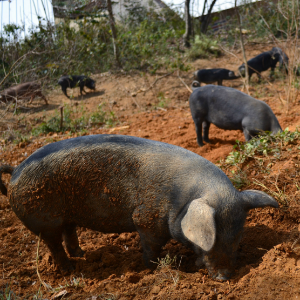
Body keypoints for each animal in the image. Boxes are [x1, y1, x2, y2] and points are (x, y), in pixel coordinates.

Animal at [0, 135, 278, 280]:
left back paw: (80, 254)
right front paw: (152, 268)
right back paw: (71, 269)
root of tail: (14, 172)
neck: (182, 199)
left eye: (238, 238)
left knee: (69, 232)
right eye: (210, 238)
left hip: (65, 216)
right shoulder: (146, 219)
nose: (224, 277)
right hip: (43, 219)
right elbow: (151, 246)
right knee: (54, 244)